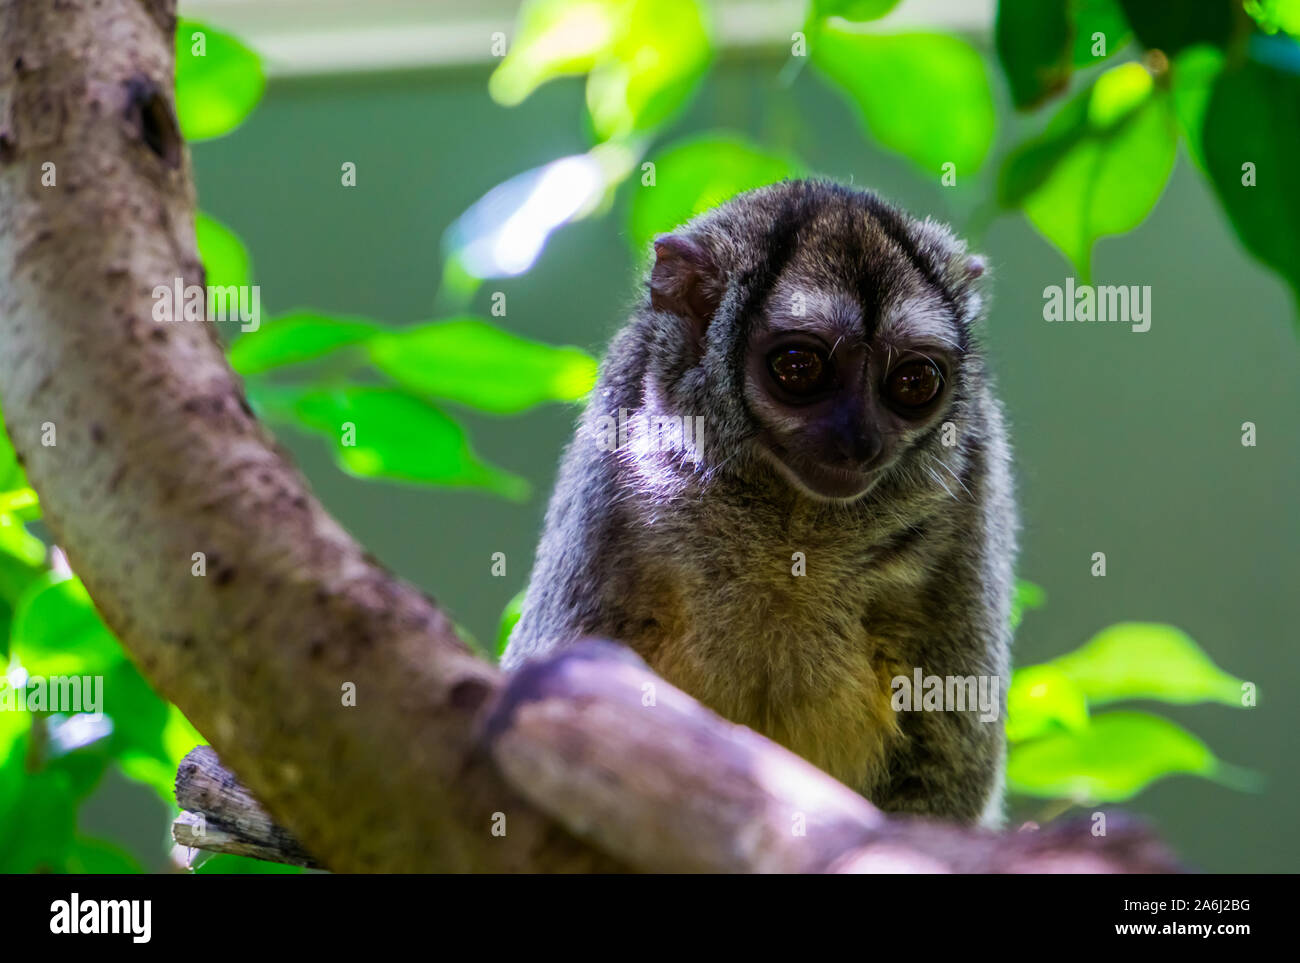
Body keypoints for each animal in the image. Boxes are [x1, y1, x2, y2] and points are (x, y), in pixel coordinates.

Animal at [502, 179, 1016, 826]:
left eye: (915, 382)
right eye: (799, 367)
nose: (861, 439)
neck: (792, 519)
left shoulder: (976, 473)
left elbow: (949, 736)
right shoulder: (612, 450)